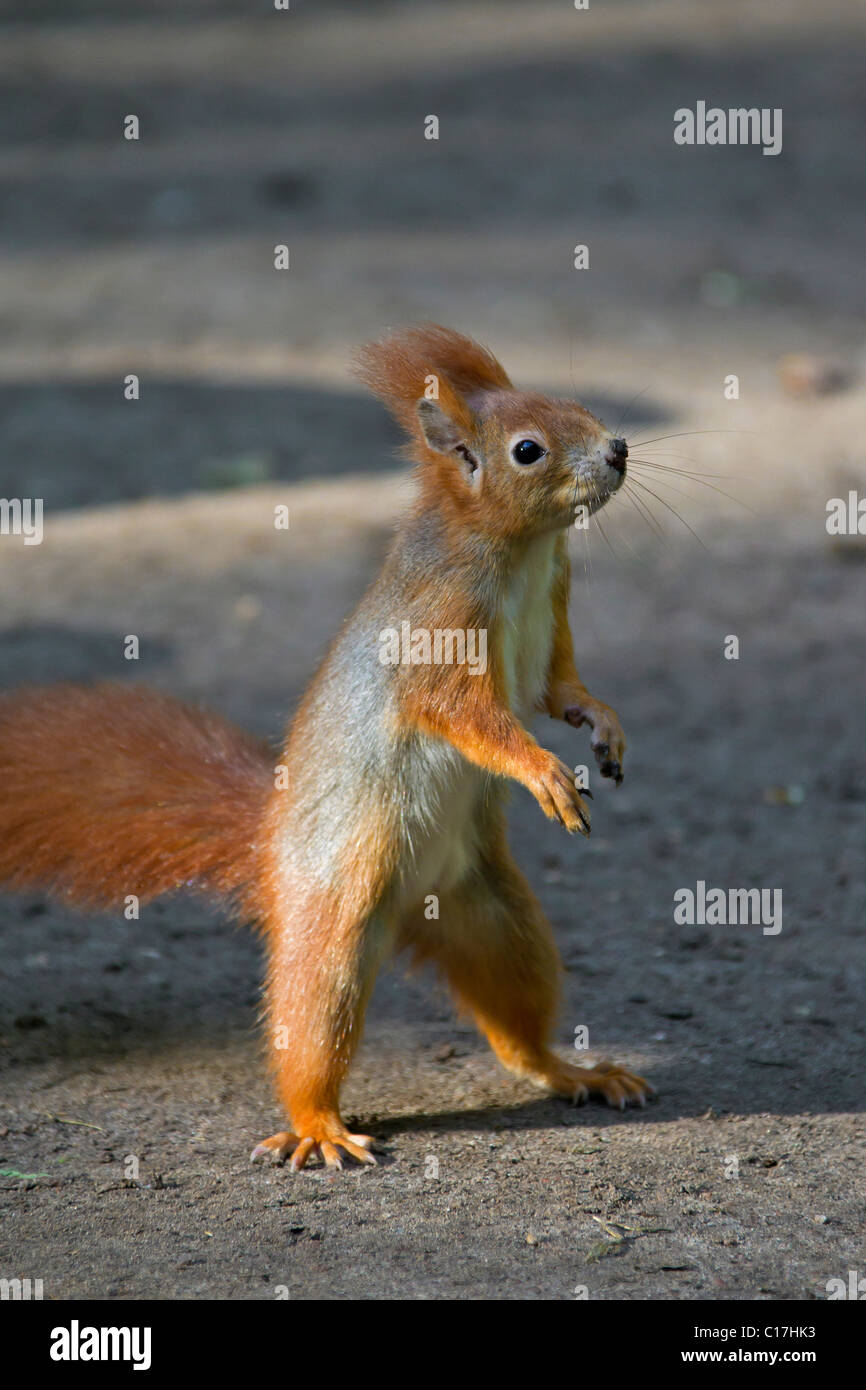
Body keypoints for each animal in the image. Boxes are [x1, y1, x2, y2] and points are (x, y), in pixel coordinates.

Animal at [0, 325, 652, 1171]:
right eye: (528, 450)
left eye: (575, 403)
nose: (618, 448)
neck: (523, 551)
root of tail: (269, 853)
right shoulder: (437, 629)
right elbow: (462, 712)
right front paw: (539, 768)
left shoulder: (554, 613)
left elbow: (557, 689)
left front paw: (603, 724)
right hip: (335, 924)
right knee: (311, 1027)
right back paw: (317, 1125)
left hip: (493, 916)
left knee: (518, 1023)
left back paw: (576, 1070)